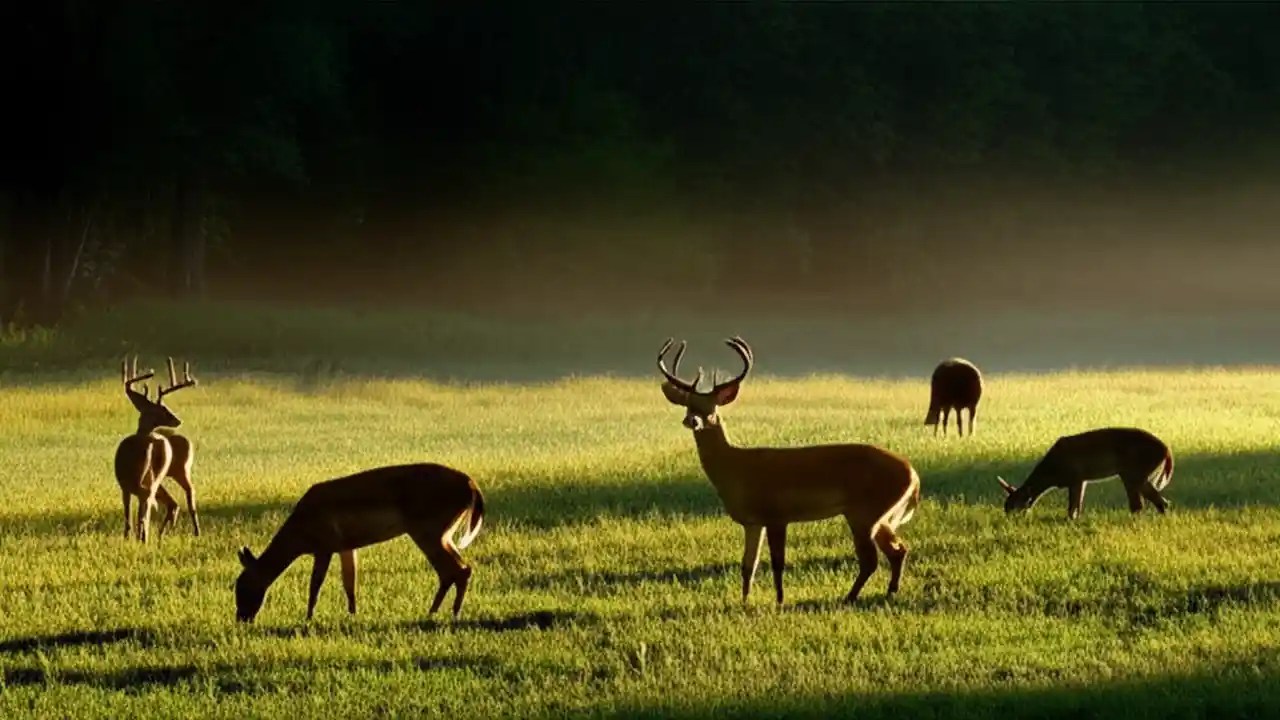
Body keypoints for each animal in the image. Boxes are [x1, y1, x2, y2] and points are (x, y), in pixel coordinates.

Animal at [114, 356, 200, 542]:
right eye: (163, 409)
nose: (177, 420)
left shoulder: (124, 485)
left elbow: (128, 514)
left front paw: (128, 537)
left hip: (167, 474)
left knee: (152, 501)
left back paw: (145, 536)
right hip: (162, 474)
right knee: (175, 499)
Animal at [234, 462, 485, 623]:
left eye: (241, 586)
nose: (241, 618)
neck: (300, 535)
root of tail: (472, 486)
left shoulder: (325, 545)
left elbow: (315, 584)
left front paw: (308, 617)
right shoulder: (346, 545)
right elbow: (350, 582)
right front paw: (353, 613)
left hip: (429, 527)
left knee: (455, 570)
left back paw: (443, 612)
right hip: (440, 531)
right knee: (459, 569)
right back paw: (441, 612)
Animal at [657, 336, 921, 607]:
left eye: (712, 409)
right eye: (689, 405)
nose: (693, 421)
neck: (736, 469)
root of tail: (913, 475)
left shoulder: (776, 513)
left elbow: (777, 563)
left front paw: (779, 601)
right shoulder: (753, 521)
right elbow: (748, 565)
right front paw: (745, 601)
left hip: (865, 511)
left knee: (871, 559)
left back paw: (850, 597)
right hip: (878, 515)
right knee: (898, 549)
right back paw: (890, 591)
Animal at [997, 427, 1174, 520]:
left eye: (1013, 506)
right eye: (1006, 505)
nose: (1008, 518)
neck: (1052, 473)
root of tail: (1167, 451)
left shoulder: (1075, 476)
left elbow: (1072, 505)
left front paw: (1070, 520)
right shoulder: (1081, 479)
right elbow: (1078, 504)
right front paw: (1075, 520)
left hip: (1134, 470)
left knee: (1141, 504)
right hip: (1135, 472)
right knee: (1154, 502)